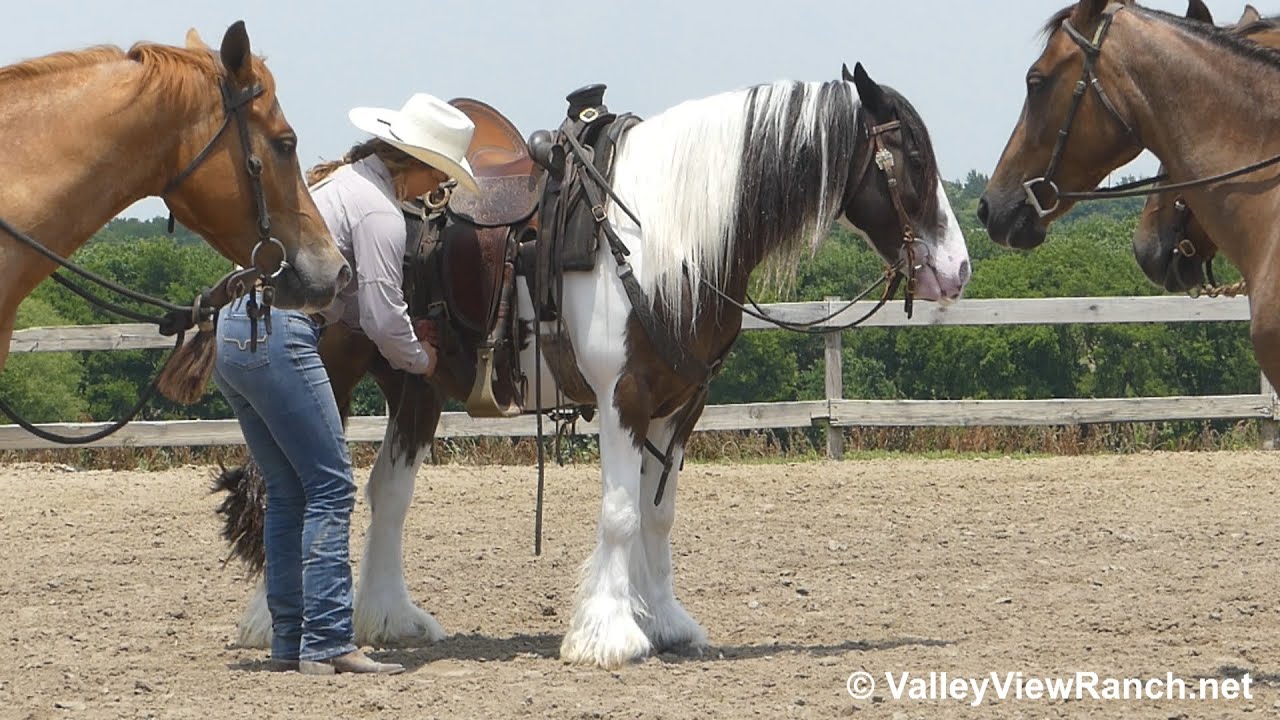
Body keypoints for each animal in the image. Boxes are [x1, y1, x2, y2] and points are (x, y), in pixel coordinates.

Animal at [220, 64, 971, 669]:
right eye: (911, 157)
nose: (958, 268)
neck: (661, 235)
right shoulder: (623, 397)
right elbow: (619, 513)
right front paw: (609, 634)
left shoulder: (679, 406)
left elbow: (657, 515)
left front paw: (665, 622)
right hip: (330, 375)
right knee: (293, 489)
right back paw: (273, 622)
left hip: (415, 387)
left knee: (388, 491)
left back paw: (391, 617)